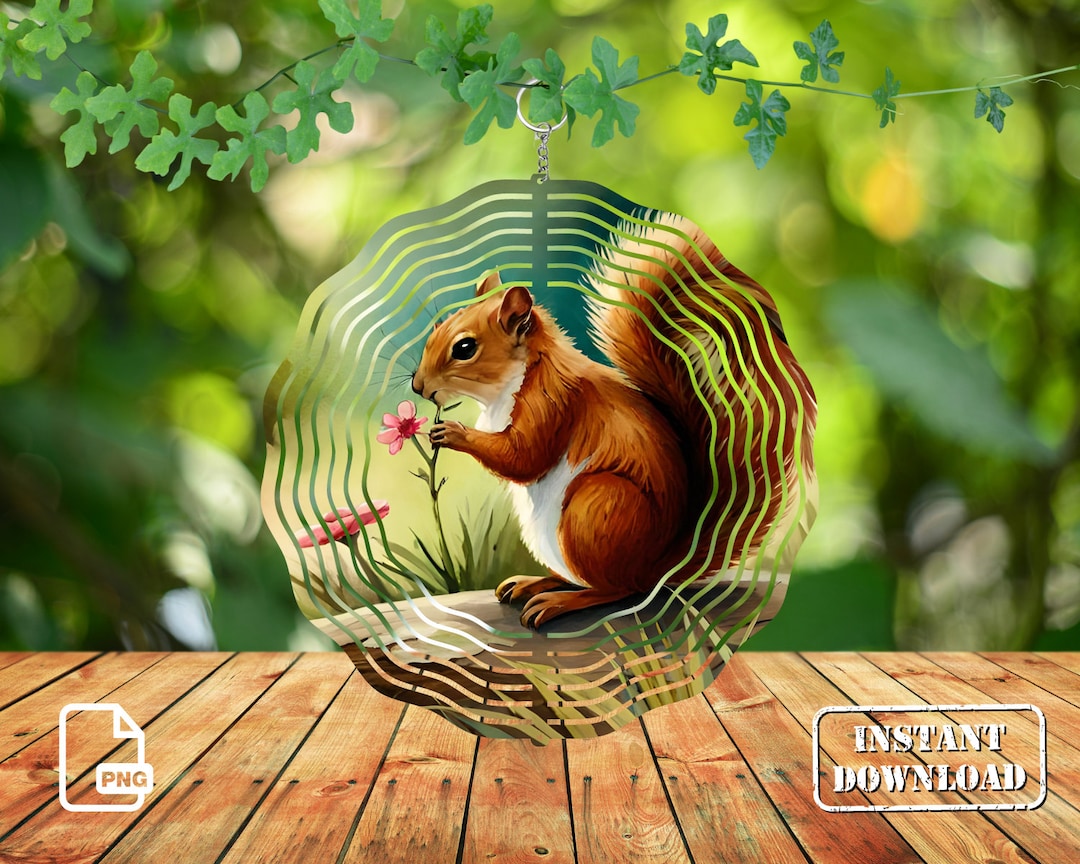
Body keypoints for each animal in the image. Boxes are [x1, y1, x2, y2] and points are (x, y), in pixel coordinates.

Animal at [412, 215, 817, 628]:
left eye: (465, 348)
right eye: (436, 329)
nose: (418, 386)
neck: (515, 380)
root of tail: (654, 567)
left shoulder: (553, 403)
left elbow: (524, 457)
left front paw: (454, 433)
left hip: (596, 508)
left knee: (616, 589)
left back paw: (560, 602)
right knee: (579, 578)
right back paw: (533, 582)